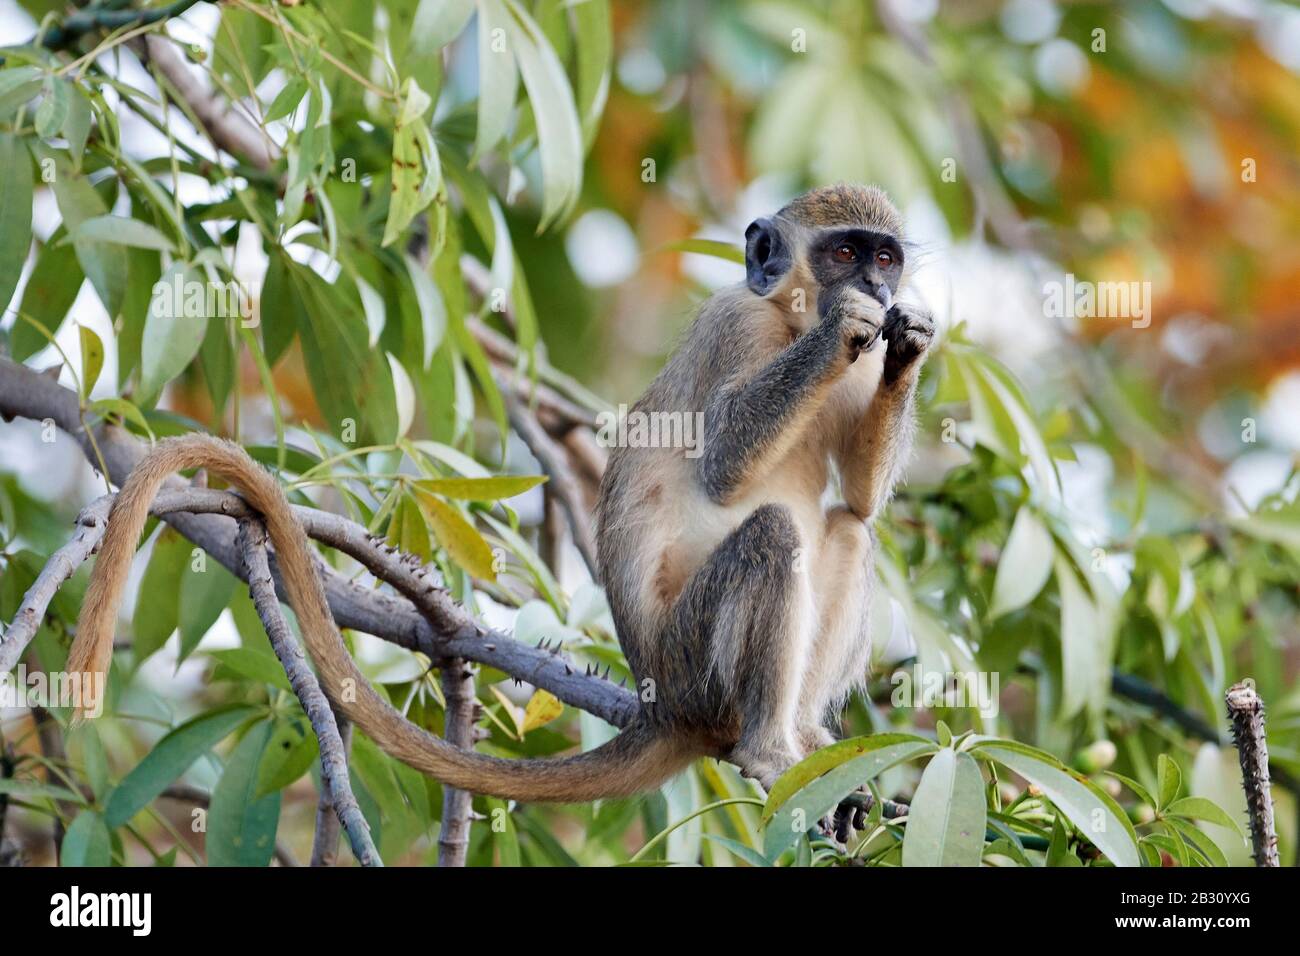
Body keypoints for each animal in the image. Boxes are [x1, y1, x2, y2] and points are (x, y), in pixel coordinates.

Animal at [66, 183, 933, 821]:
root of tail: (663, 706)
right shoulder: (737, 326)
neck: (789, 321)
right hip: (695, 664)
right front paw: (847, 322)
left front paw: (911, 342)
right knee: (776, 534)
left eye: (885, 257)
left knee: (848, 533)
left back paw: (811, 740)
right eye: (846, 252)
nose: (874, 285)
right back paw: (768, 749)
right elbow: (722, 465)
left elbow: (862, 499)